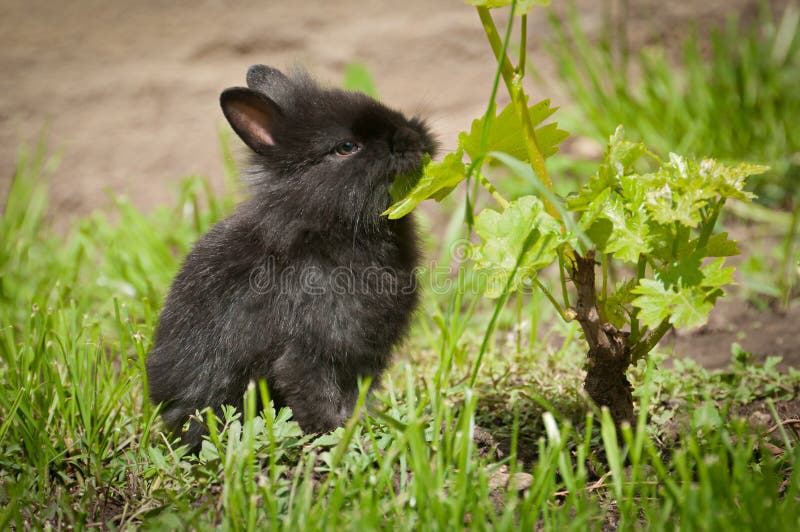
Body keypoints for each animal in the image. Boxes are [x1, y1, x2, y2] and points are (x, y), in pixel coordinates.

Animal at [146, 65, 436, 451]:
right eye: (347, 147)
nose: (413, 138)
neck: (323, 227)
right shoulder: (308, 353)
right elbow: (315, 395)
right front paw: (335, 437)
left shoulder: (365, 358)